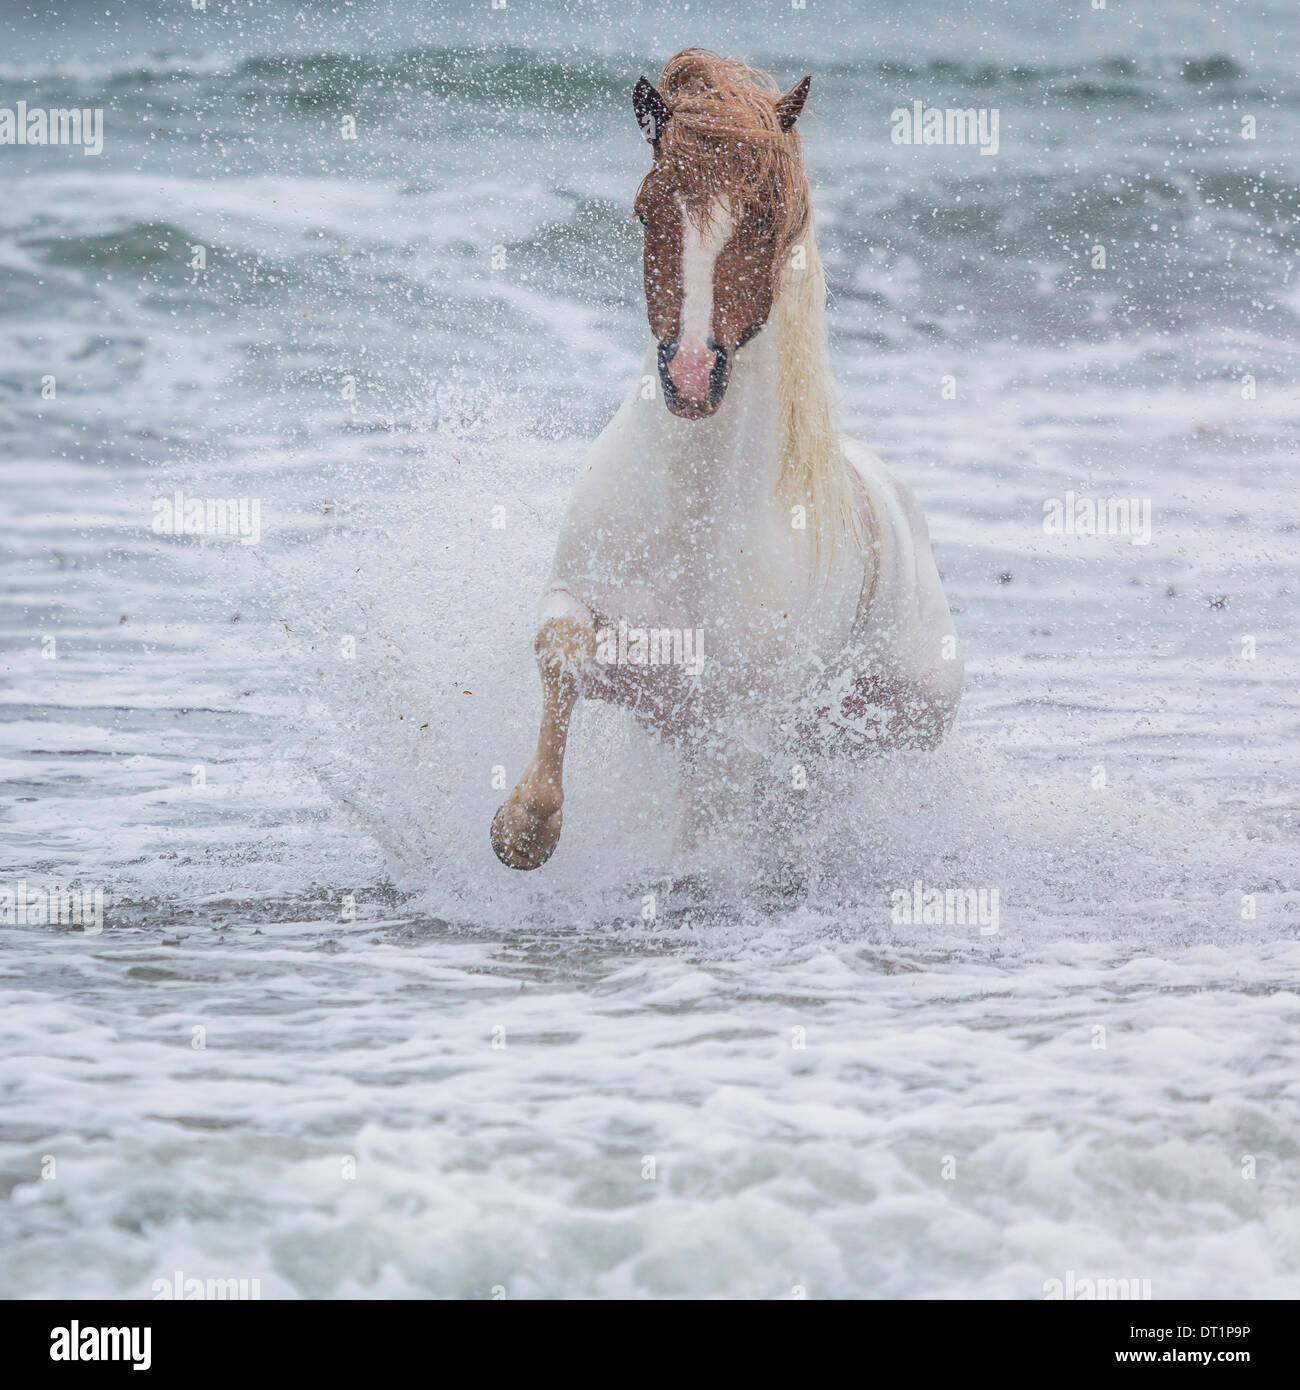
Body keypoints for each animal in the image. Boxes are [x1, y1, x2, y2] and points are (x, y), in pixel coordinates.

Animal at [491, 48, 963, 871]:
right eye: (647, 212)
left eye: (765, 220)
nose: (688, 377)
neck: (696, 507)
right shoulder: (604, 628)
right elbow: (561, 648)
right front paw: (524, 826)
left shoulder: (732, 724)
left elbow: (703, 836)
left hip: (903, 713)